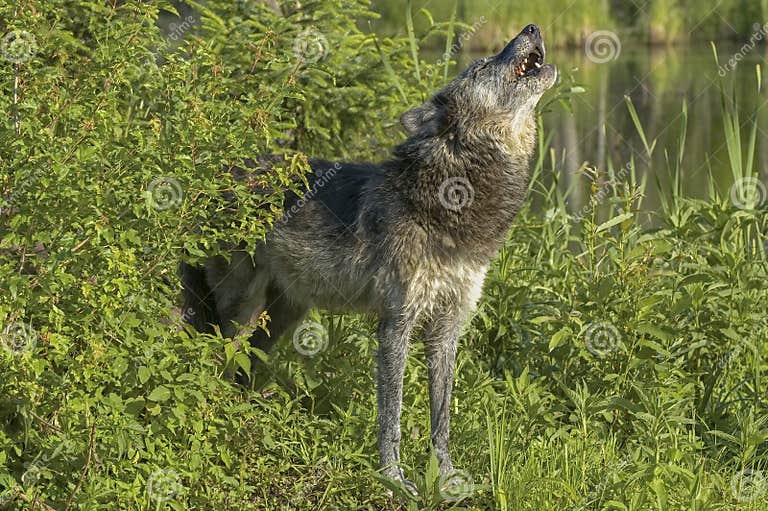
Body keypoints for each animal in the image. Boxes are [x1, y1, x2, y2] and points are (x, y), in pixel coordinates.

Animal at [180, 24, 556, 492]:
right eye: (481, 66)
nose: (532, 27)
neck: (454, 195)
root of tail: (212, 180)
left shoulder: (447, 327)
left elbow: (442, 417)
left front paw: (446, 476)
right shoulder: (396, 324)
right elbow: (390, 414)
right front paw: (392, 477)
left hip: (282, 316)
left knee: (246, 365)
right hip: (242, 310)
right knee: (220, 359)